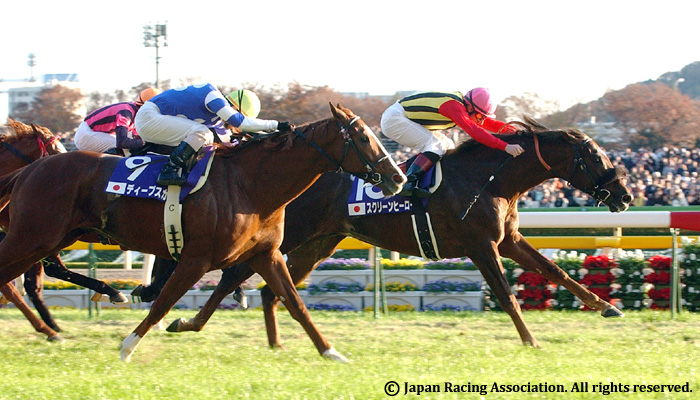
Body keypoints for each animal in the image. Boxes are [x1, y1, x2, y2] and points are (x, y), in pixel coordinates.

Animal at [162, 116, 633, 349]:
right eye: (595, 156)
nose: (625, 195)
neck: (491, 179)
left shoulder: (508, 240)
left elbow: (556, 271)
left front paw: (608, 307)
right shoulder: (481, 245)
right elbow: (507, 294)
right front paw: (531, 340)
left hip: (318, 243)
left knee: (267, 290)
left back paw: (276, 344)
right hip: (290, 237)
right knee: (231, 276)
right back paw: (185, 323)